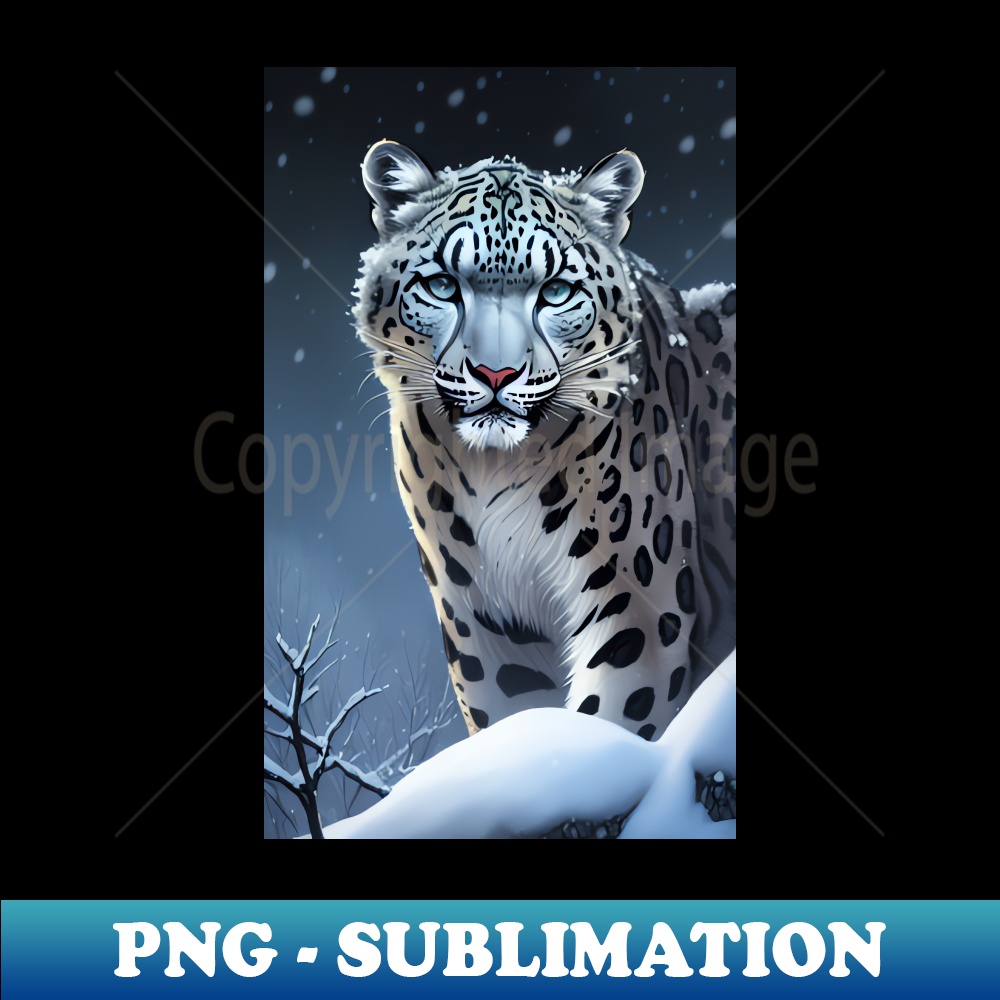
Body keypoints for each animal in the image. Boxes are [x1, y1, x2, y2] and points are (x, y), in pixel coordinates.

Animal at [353, 139, 735, 745]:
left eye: (555, 291)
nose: (495, 373)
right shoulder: (488, 619)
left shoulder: (640, 607)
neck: (494, 469)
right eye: (442, 285)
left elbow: (610, 722)